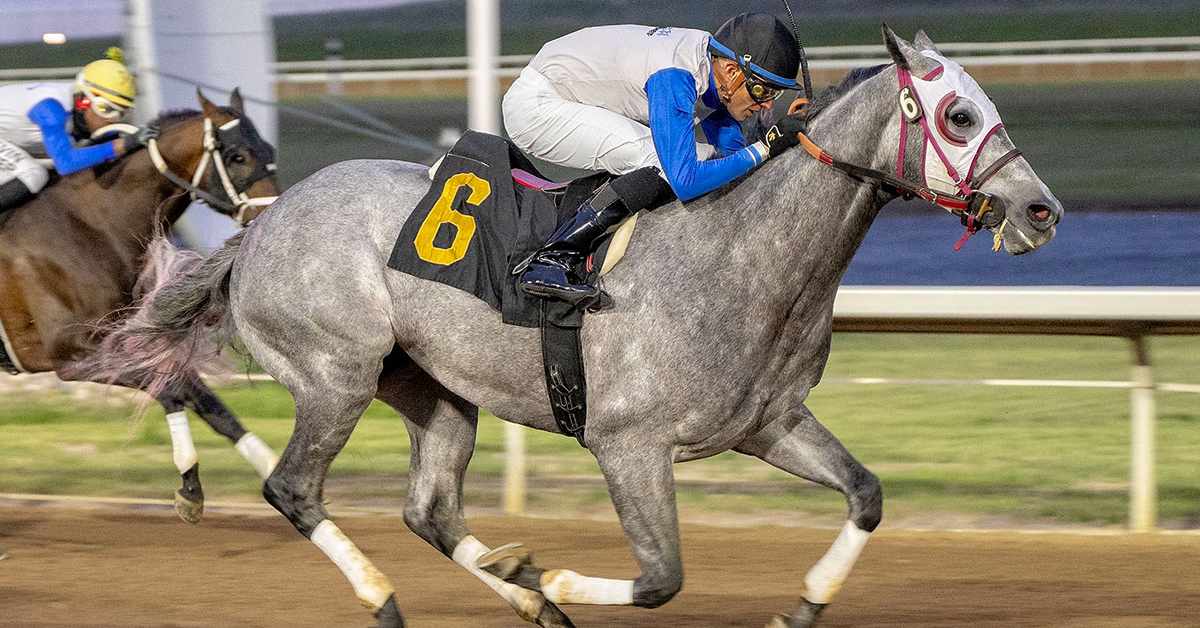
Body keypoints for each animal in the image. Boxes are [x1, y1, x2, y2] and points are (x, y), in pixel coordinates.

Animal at [0, 90, 281, 524]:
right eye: (237, 156)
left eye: (267, 149)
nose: (273, 216)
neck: (91, 226)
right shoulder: (74, 355)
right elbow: (172, 388)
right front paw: (189, 484)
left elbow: (204, 398)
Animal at [94, 28, 1062, 627]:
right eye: (958, 115)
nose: (1040, 211)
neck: (742, 254)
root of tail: (259, 229)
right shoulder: (629, 445)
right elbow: (663, 578)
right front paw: (554, 569)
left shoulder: (767, 424)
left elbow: (866, 494)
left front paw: (804, 605)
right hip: (336, 374)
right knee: (295, 490)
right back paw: (398, 597)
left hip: (434, 392)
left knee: (428, 509)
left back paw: (523, 594)